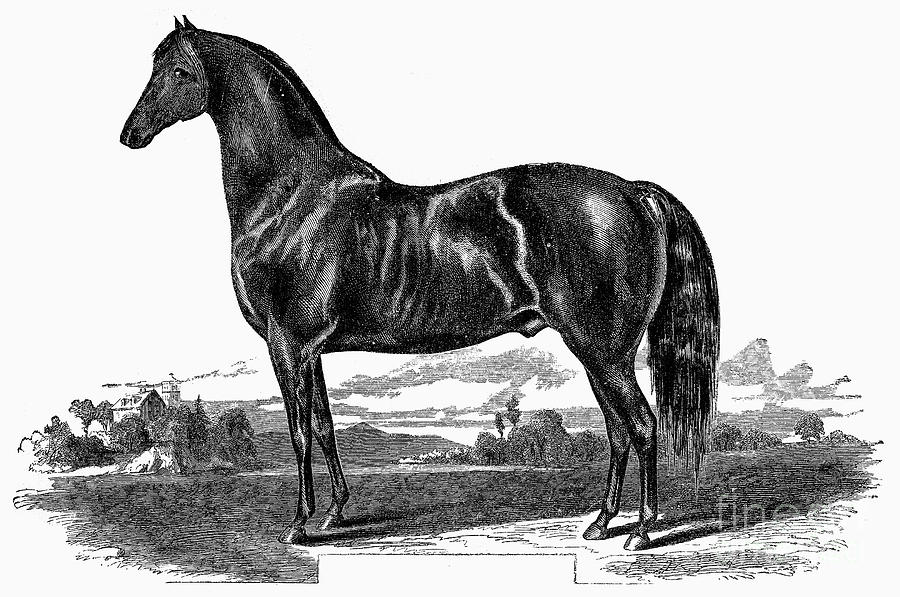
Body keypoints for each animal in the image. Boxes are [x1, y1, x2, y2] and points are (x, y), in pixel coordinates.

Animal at [121, 17, 719, 551]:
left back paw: (642, 531)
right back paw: (602, 523)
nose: (130, 134)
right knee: (619, 430)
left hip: (602, 350)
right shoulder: (310, 350)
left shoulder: (287, 344)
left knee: (641, 426)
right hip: (598, 354)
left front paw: (299, 525)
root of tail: (634, 192)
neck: (292, 195)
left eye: (177, 71)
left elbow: (298, 433)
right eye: (154, 64)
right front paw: (335, 515)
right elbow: (324, 428)